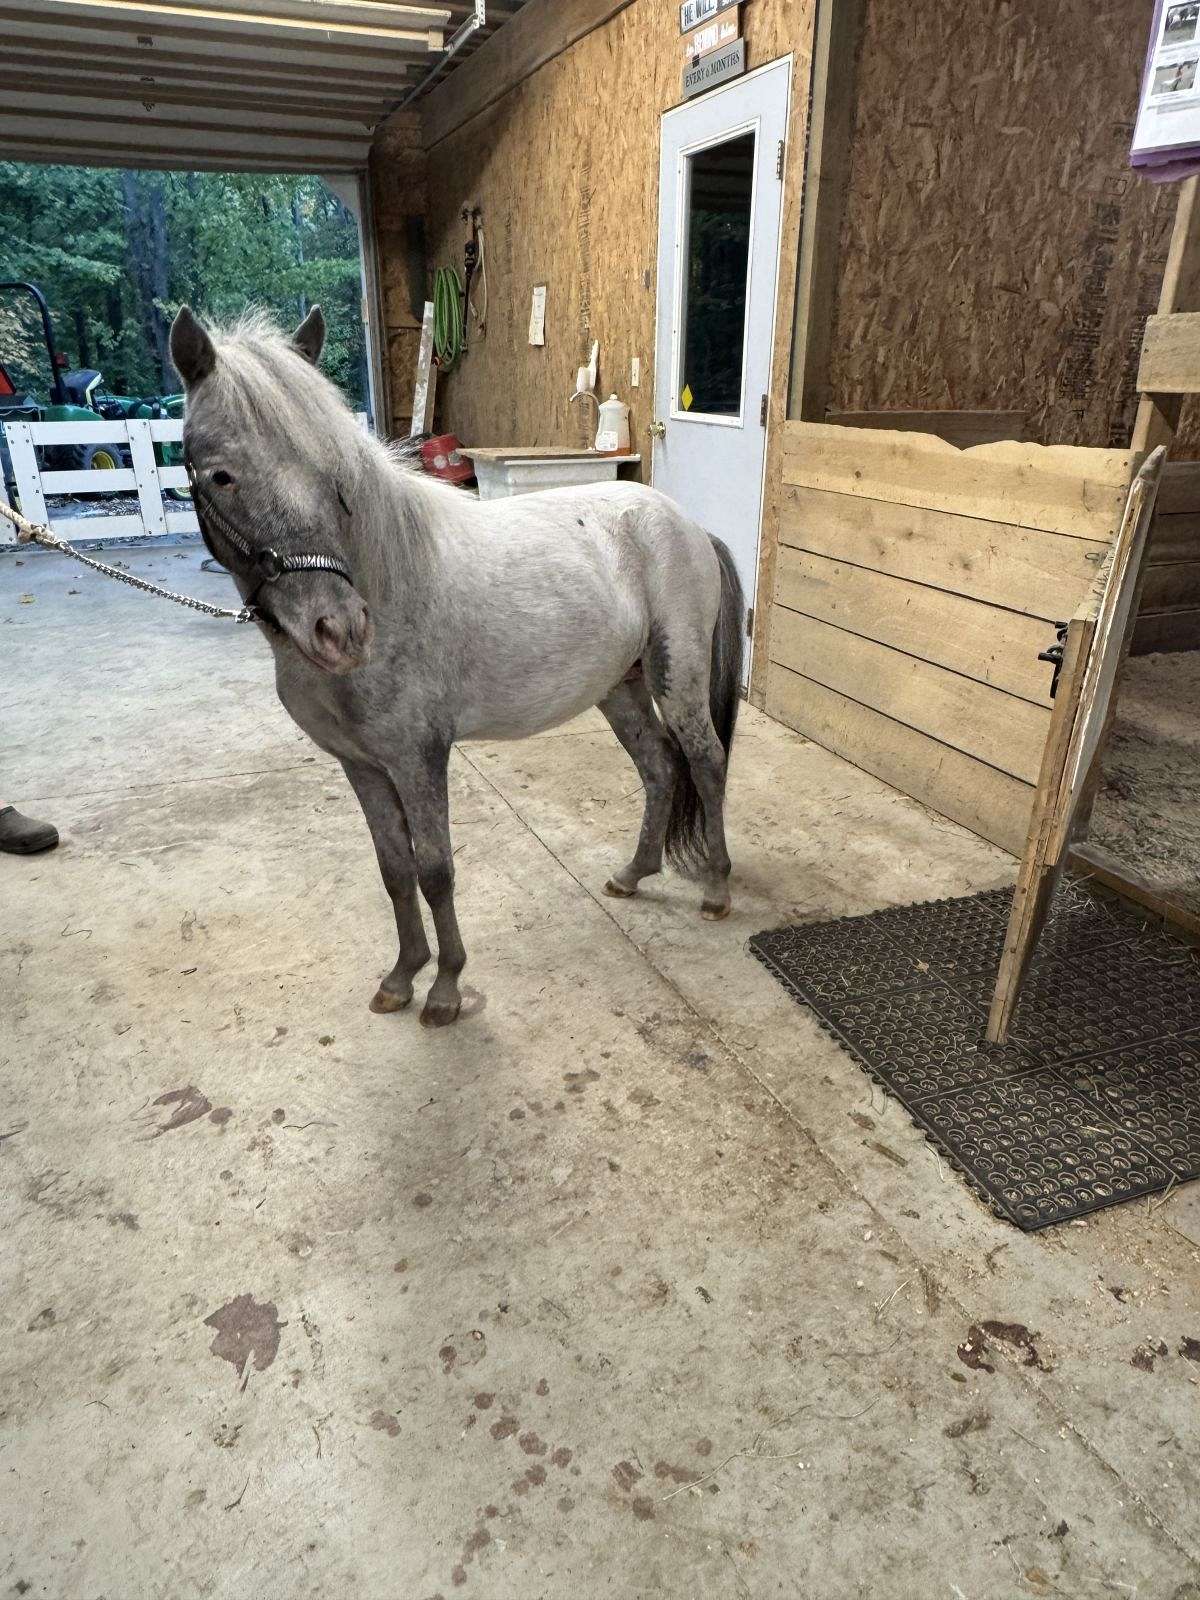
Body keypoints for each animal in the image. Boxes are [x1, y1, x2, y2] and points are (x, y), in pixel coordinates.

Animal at [169, 304, 744, 1028]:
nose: (340, 631)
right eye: (221, 475)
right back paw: (632, 875)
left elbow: (436, 870)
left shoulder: (420, 758)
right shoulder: (362, 766)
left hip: (677, 676)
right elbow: (394, 870)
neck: (387, 582)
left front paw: (444, 989)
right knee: (660, 767)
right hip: (621, 688)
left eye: (334, 475)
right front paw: (401, 977)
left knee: (705, 761)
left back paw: (717, 889)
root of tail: (686, 525)